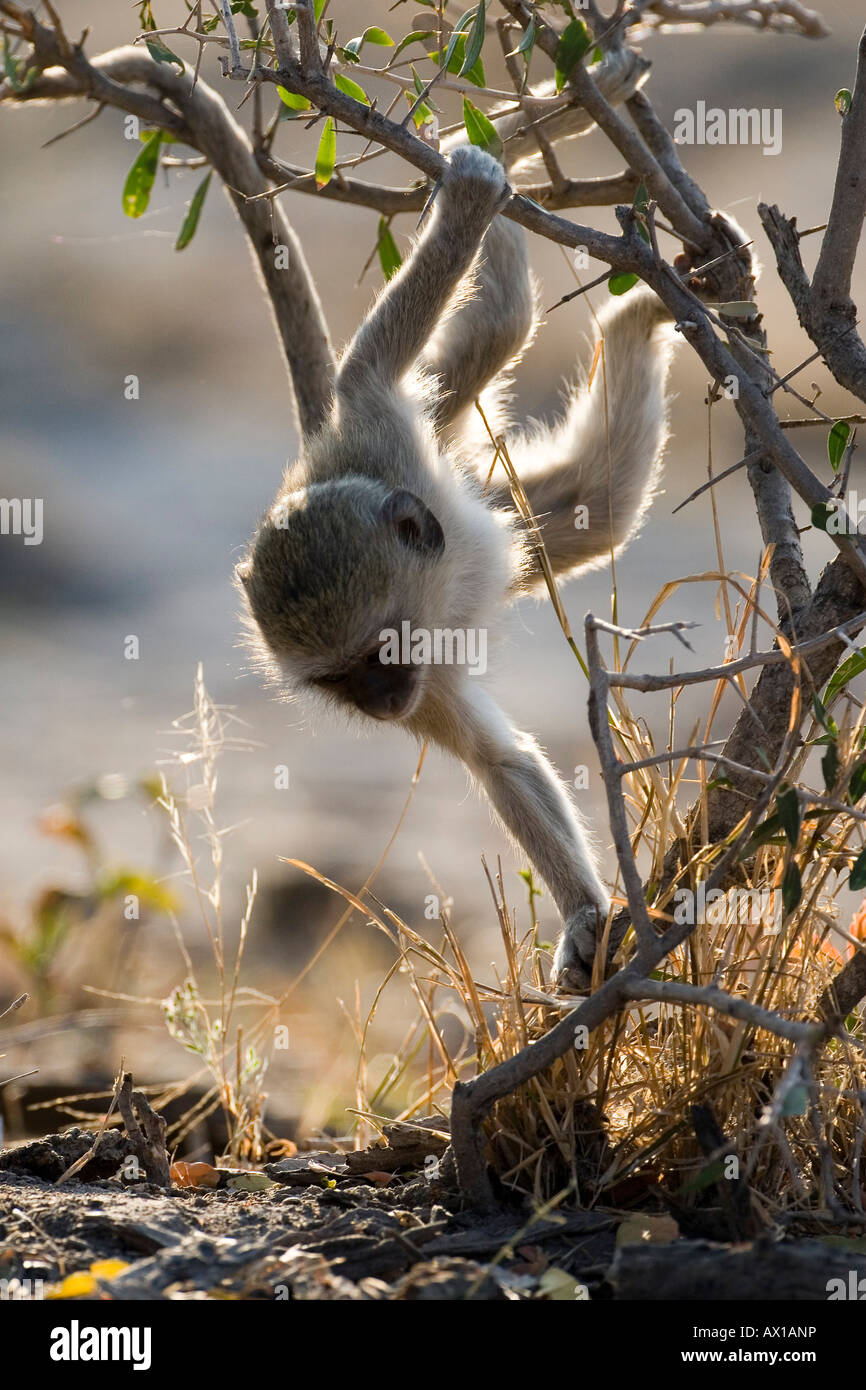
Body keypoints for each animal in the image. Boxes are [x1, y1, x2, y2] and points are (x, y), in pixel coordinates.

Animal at [236, 139, 678, 994]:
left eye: (380, 654)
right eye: (340, 680)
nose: (380, 705)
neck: (439, 585)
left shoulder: (382, 431)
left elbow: (365, 374)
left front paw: (469, 197)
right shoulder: (428, 680)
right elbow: (498, 759)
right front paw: (583, 921)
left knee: (501, 327)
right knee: (594, 494)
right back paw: (627, 312)